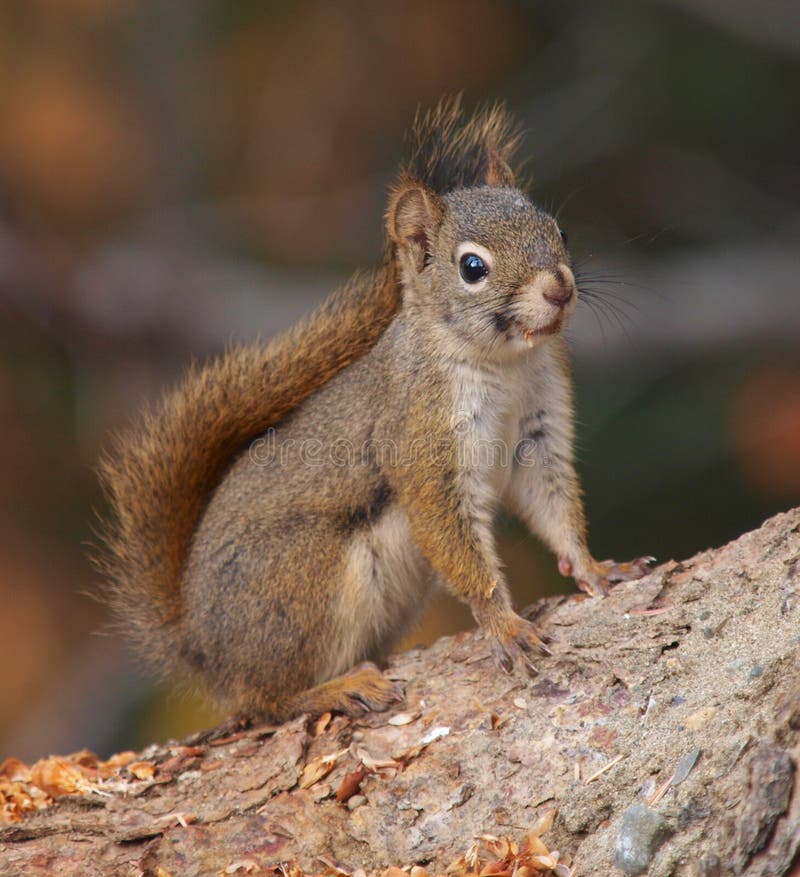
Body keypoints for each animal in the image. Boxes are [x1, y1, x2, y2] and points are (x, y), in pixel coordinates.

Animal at [97, 98, 652, 722]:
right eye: (472, 268)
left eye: (559, 230)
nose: (559, 289)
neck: (505, 365)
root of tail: (200, 647)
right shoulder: (420, 434)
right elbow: (450, 535)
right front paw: (504, 625)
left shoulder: (537, 429)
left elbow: (554, 507)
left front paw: (595, 567)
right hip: (305, 585)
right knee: (266, 700)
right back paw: (335, 689)